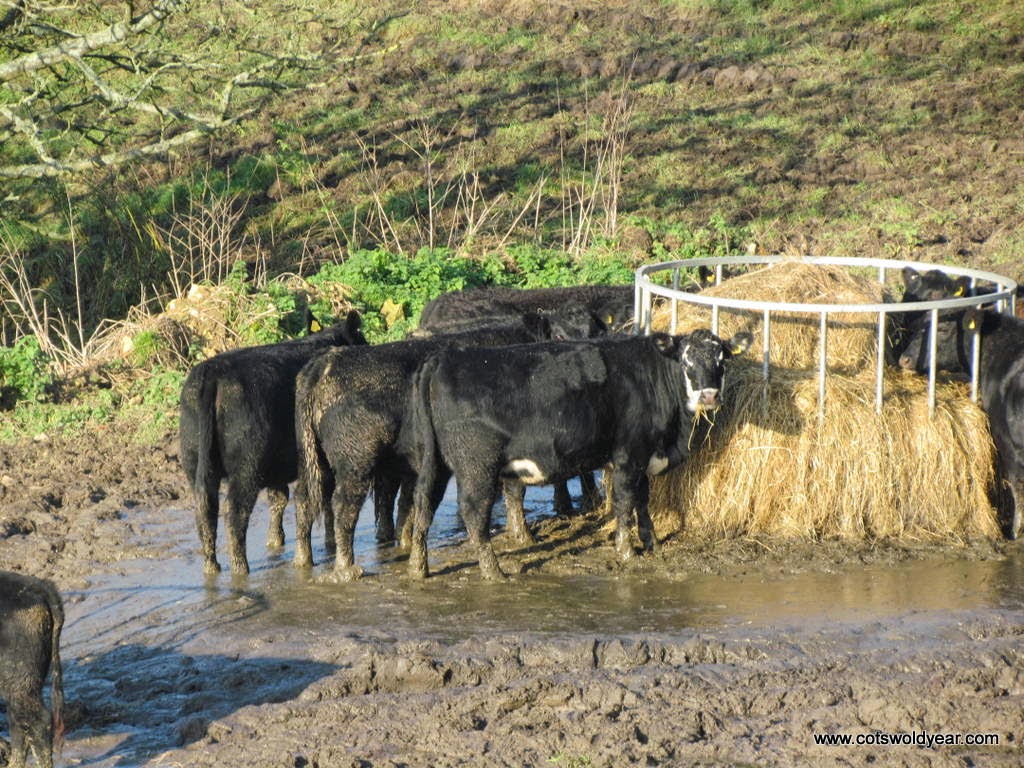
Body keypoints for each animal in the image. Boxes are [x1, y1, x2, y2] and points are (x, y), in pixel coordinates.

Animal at [179, 310, 367, 575]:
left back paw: (212, 567)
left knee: (205, 511)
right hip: (246, 467)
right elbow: (319, 499)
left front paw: (275, 541)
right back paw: (240, 567)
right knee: (235, 512)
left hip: (193, 462)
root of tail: (211, 372)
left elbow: (279, 499)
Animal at [293, 315, 575, 581]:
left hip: (315, 461)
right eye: (559, 335)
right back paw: (346, 568)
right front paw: (524, 537)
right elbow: (515, 492)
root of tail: (324, 363)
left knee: (305, 500)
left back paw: (302, 560)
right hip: (355, 462)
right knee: (342, 506)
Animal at [407, 329, 752, 580]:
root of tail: (445, 357)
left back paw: (417, 567)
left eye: (721, 361)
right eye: (686, 362)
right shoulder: (629, 456)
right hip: (477, 466)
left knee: (424, 504)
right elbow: (626, 503)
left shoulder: (642, 458)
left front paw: (652, 544)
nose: (709, 396)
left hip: (436, 463)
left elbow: (643, 502)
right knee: (474, 513)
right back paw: (494, 572)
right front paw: (627, 552)